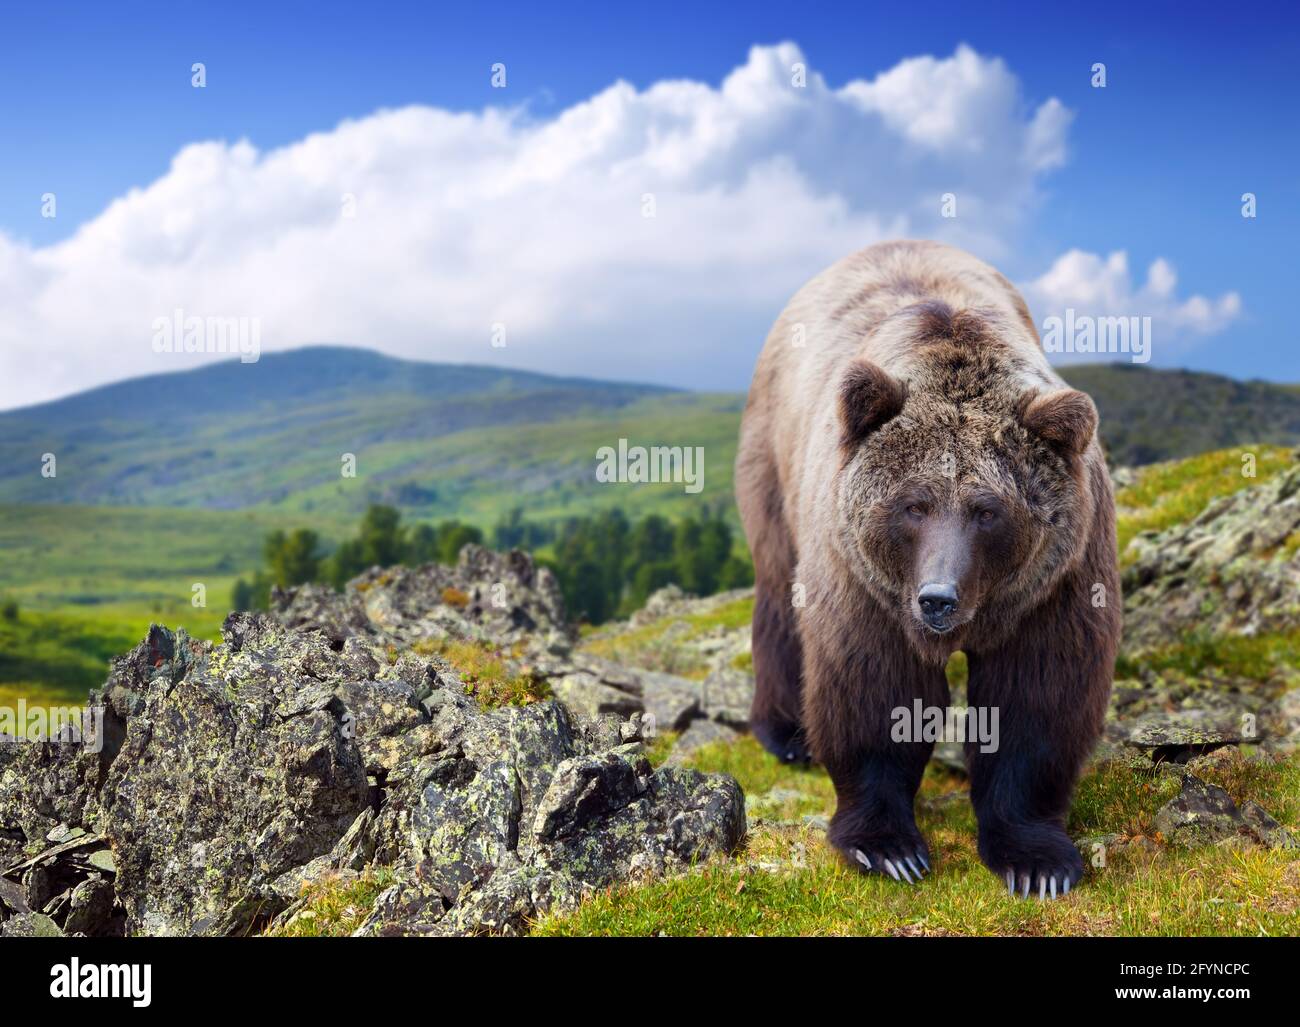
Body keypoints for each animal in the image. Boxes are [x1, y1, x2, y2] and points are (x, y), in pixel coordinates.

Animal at [735, 240, 1120, 898]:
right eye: (913, 504)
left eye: (988, 510)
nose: (937, 598)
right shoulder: (865, 582)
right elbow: (874, 685)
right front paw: (888, 847)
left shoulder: (1057, 582)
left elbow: (1038, 696)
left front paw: (1036, 862)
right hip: (775, 460)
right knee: (780, 591)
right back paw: (786, 734)